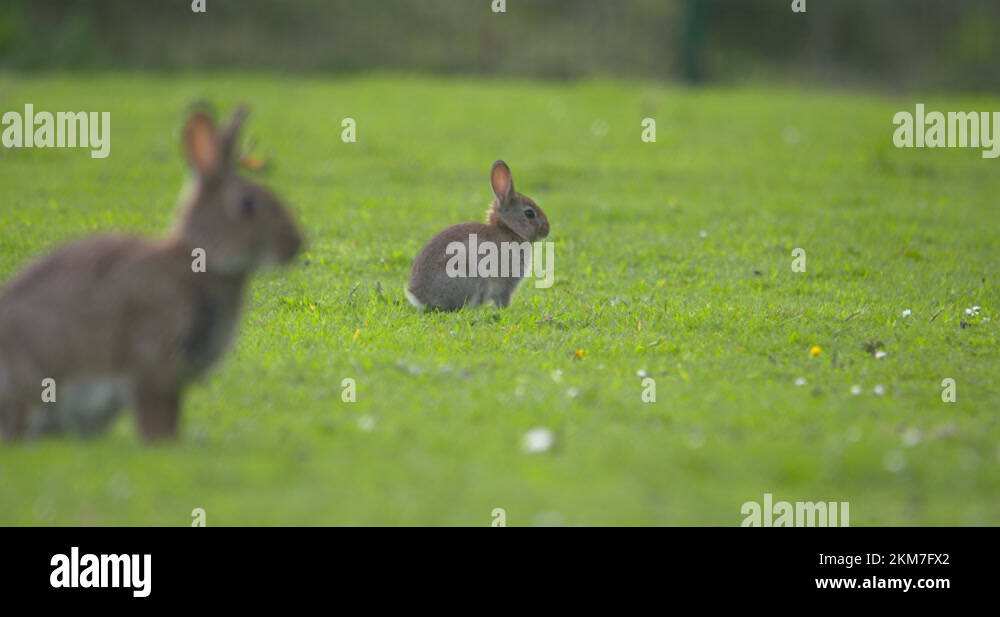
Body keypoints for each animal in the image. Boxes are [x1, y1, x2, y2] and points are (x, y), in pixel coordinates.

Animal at [406, 160, 549, 311]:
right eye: (529, 213)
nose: (547, 230)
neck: (509, 229)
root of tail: (418, 296)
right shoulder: (506, 284)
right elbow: (503, 299)